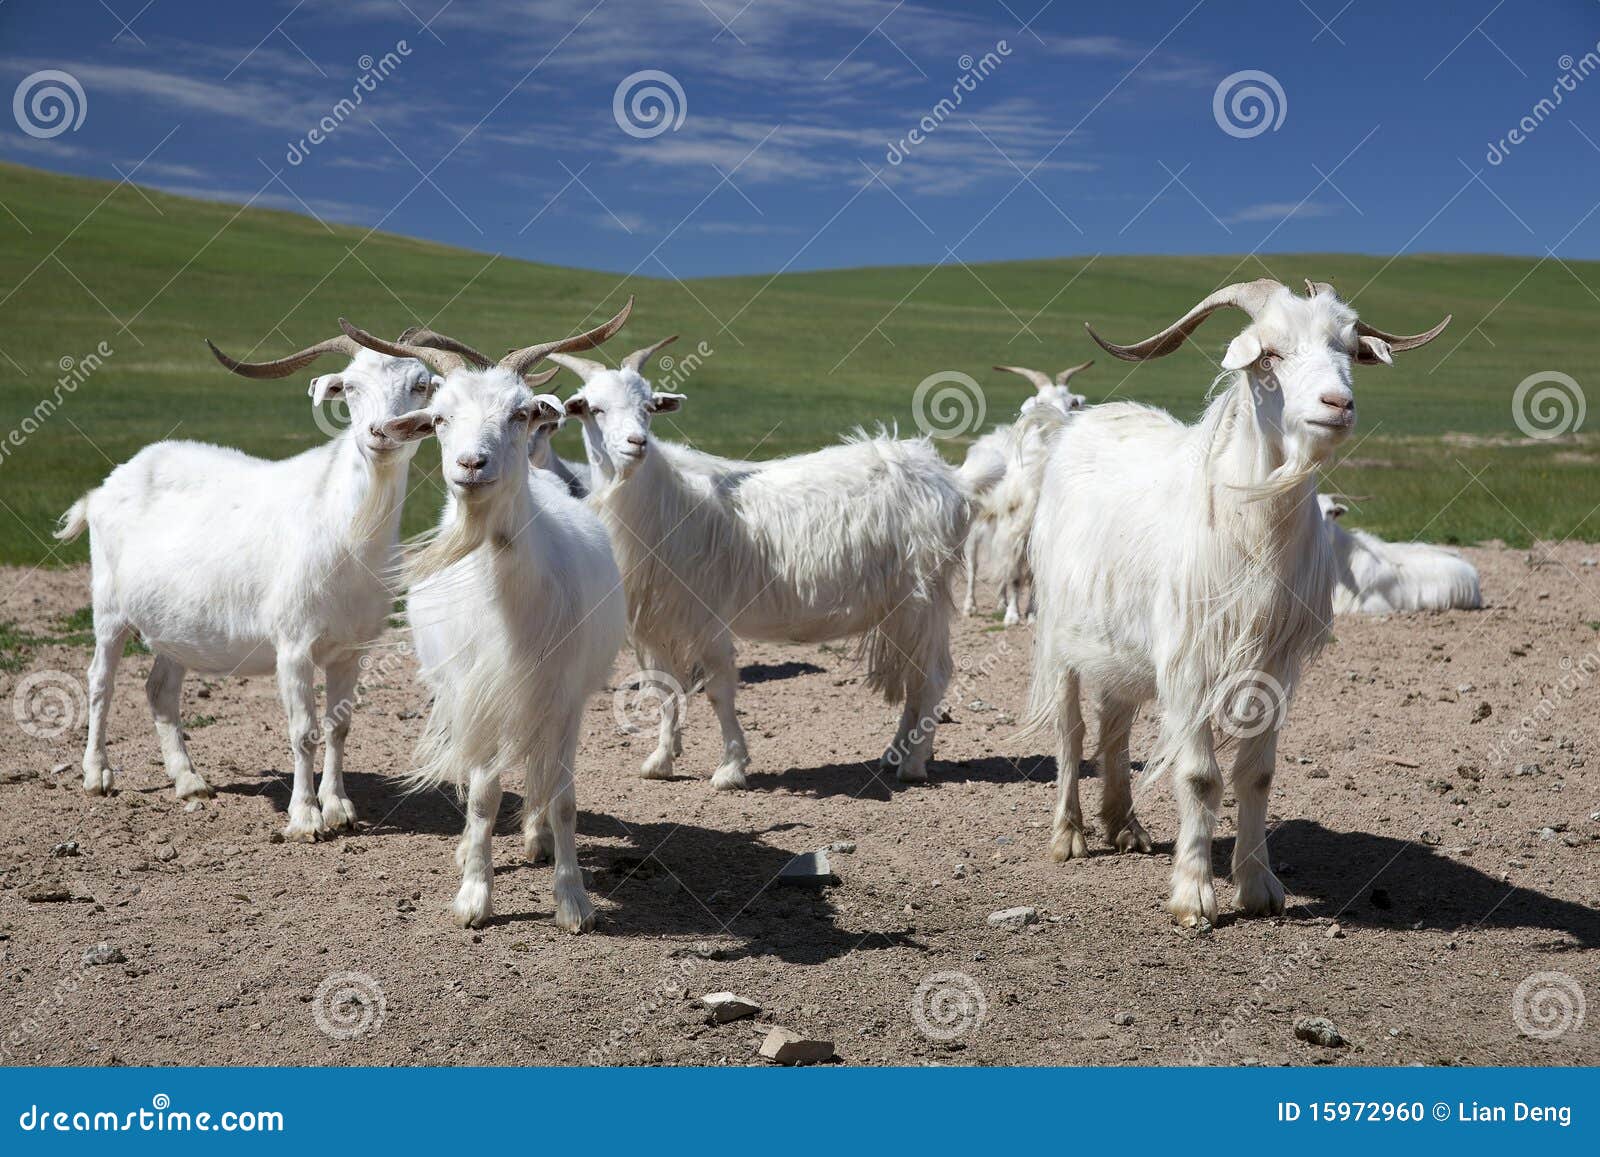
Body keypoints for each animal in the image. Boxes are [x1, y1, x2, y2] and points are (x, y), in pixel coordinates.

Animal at [54, 335, 441, 840]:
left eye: (420, 385)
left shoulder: (350, 650)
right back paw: (97, 775)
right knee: (100, 681)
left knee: (160, 689)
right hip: (108, 607)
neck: (345, 525)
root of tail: (103, 489)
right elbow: (304, 731)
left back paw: (190, 781)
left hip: (177, 625)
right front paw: (305, 818)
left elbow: (338, 726)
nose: (381, 433)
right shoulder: (294, 645)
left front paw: (339, 808)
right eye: (351, 387)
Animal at [340, 303, 631, 931]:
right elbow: (481, 795)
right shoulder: (477, 693)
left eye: (520, 413)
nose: (472, 464)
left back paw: (537, 837)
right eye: (440, 417)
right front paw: (475, 894)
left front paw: (572, 900)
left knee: (542, 774)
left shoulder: (562, 695)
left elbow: (563, 798)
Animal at [552, 336, 1001, 790]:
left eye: (648, 406)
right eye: (594, 408)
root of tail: (953, 478)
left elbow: (719, 689)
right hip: (903, 606)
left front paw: (731, 768)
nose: (636, 443)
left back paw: (913, 764)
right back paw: (894, 754)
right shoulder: (657, 620)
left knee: (935, 674)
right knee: (914, 676)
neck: (663, 498)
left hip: (925, 594)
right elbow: (664, 690)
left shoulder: (708, 614)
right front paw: (660, 761)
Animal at [961, 361, 1091, 624]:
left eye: (1072, 402)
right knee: (974, 565)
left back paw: (1000, 601)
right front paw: (1012, 615)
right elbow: (1014, 575)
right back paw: (971, 606)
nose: (1060, 421)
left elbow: (1032, 577)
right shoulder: (1014, 528)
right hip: (979, 524)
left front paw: (1031, 614)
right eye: (1040, 402)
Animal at [1025, 279, 1449, 925]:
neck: (1252, 521)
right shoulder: (1187, 661)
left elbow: (1258, 773)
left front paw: (1258, 886)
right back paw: (1069, 835)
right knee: (1070, 729)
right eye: (1269, 355)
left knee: (1115, 722)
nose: (1337, 404)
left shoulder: (1274, 663)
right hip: (1058, 631)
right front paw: (1195, 895)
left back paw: (1125, 826)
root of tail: (1088, 420)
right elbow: (1201, 776)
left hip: (1121, 645)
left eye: (1347, 348)